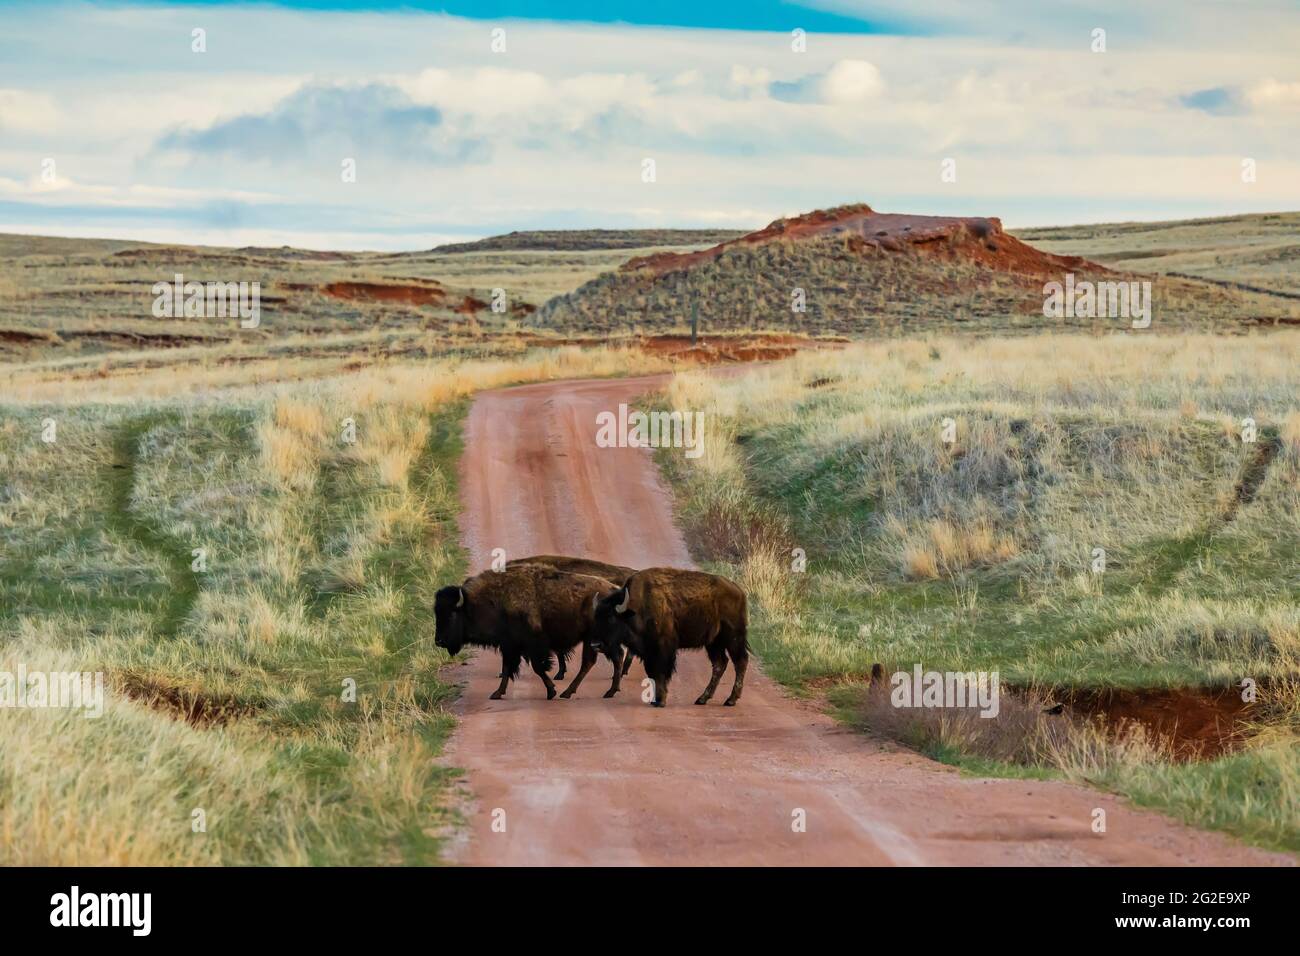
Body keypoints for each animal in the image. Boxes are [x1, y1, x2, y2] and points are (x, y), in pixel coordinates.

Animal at [590, 567, 748, 707]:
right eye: (596, 618)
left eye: (611, 618)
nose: (595, 645)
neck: (638, 606)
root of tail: (739, 591)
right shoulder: (649, 652)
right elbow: (652, 672)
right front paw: (655, 700)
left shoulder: (663, 648)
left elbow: (661, 672)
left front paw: (661, 701)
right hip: (713, 643)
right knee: (720, 664)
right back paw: (702, 699)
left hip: (733, 638)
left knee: (740, 662)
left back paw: (730, 700)